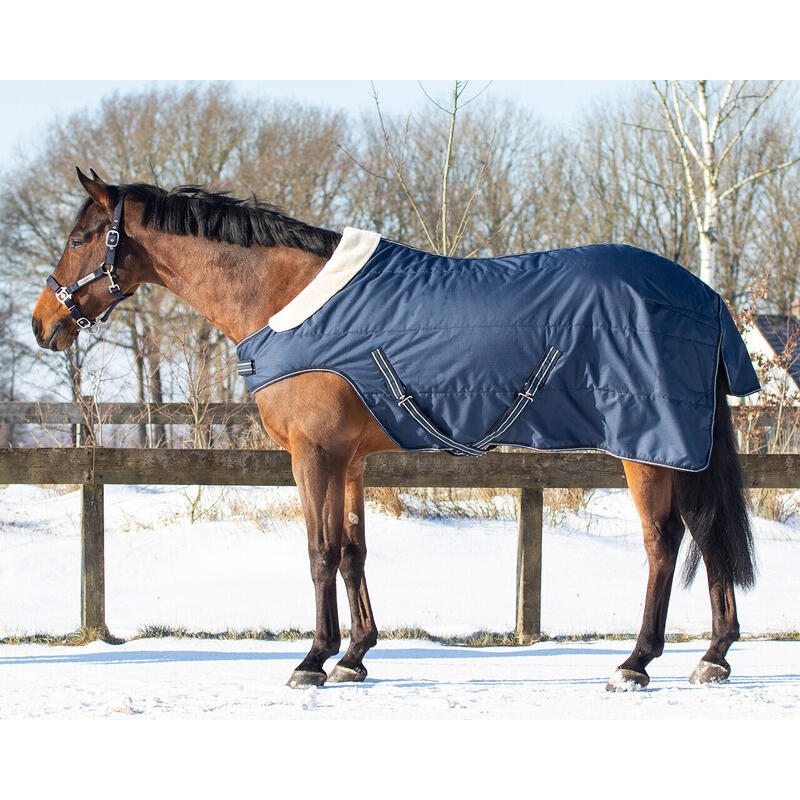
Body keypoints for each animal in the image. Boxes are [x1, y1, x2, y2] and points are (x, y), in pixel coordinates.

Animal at [32, 169, 757, 691]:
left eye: (78, 239)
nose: (43, 323)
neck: (288, 297)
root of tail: (704, 296)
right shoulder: (349, 458)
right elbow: (353, 550)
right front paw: (354, 656)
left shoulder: (313, 455)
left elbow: (319, 551)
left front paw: (312, 660)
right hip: (681, 449)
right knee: (706, 532)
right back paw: (715, 654)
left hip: (649, 446)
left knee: (664, 544)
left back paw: (636, 662)